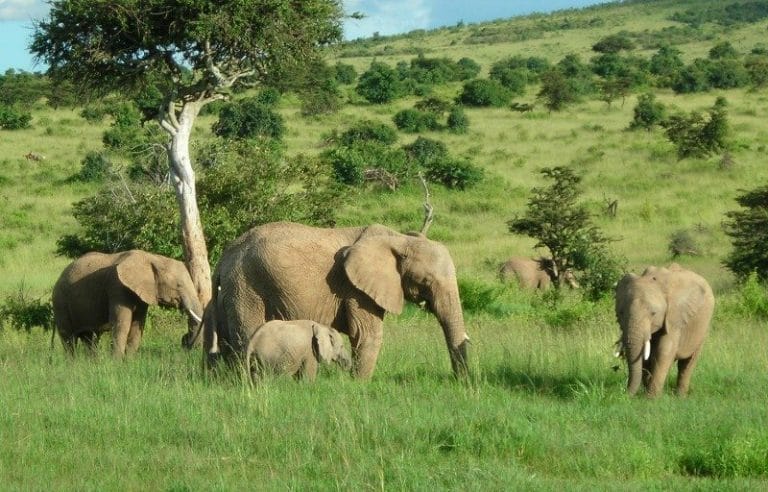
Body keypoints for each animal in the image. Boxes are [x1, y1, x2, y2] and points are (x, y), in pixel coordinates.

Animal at [51, 250, 204, 357]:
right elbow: (122, 325)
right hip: (60, 302)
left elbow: (138, 325)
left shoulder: (141, 294)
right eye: (178, 285)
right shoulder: (117, 287)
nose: (185, 340)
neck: (151, 257)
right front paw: (116, 363)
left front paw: (129, 361)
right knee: (68, 338)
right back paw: (72, 364)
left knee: (88, 338)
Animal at [195, 221, 470, 379]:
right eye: (426, 282)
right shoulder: (356, 289)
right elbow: (367, 335)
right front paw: (359, 387)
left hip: (233, 291)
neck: (399, 238)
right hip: (247, 286)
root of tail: (226, 256)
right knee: (246, 335)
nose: (461, 381)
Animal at [614, 263, 714, 397]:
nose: (624, 394)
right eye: (620, 312)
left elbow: (664, 351)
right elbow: (646, 356)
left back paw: (680, 396)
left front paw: (650, 398)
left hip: (703, 326)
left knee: (688, 362)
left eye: (653, 313)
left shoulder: (674, 318)